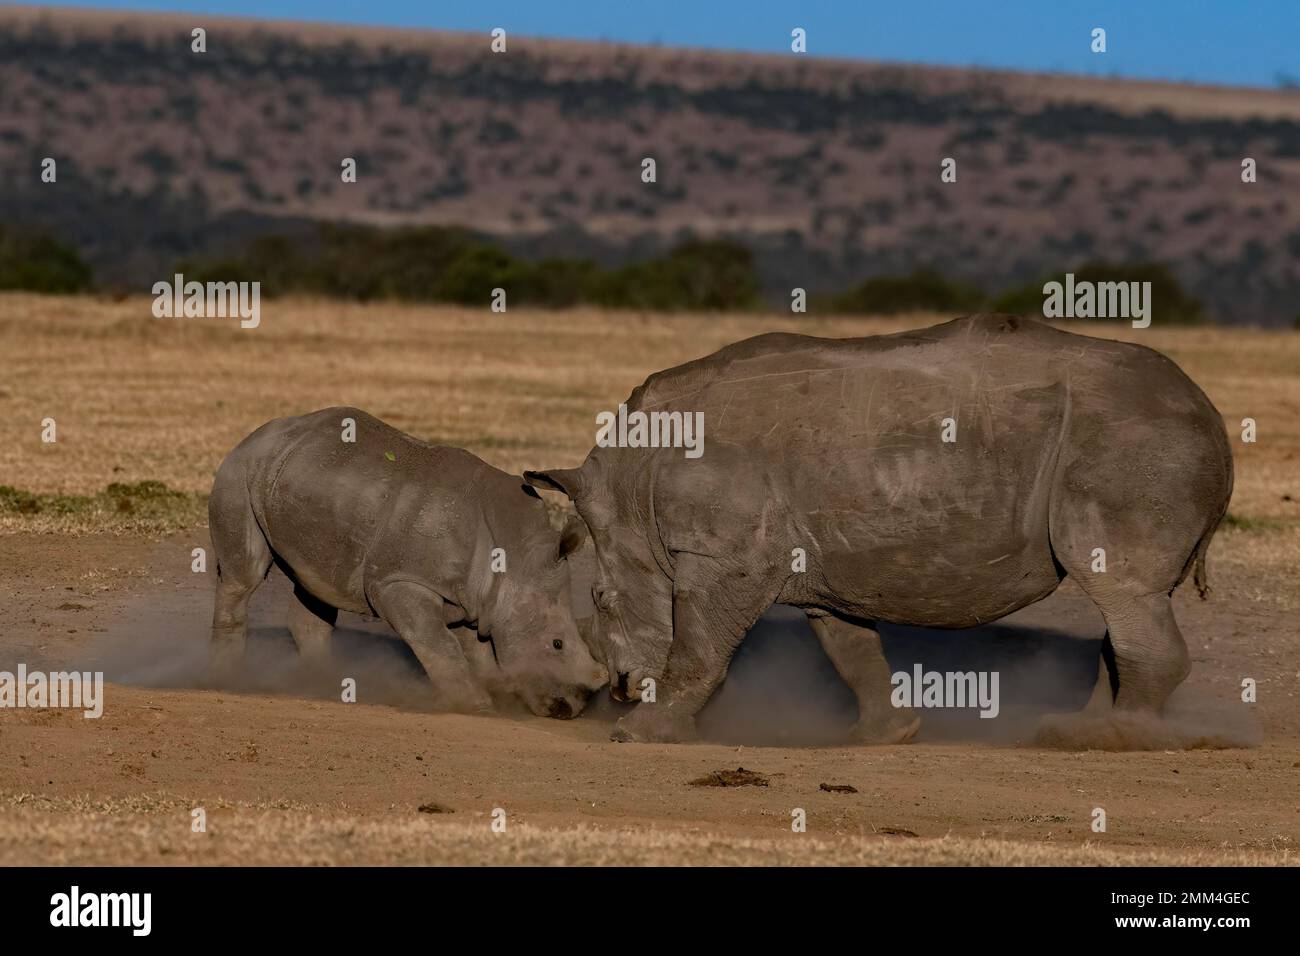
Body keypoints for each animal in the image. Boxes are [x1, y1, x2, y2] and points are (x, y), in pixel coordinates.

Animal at [209, 407, 607, 718]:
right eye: (557, 644)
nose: (570, 710)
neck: (517, 558)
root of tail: (257, 433)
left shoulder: (476, 599)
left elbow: (474, 647)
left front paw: (496, 692)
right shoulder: (398, 581)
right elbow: (438, 642)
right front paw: (477, 706)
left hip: (303, 482)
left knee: (316, 584)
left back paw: (323, 680)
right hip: (239, 471)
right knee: (243, 578)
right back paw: (230, 678)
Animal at [526, 315, 1234, 743]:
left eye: (600, 599)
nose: (620, 691)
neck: (633, 481)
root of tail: (1215, 419)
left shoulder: (723, 556)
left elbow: (698, 647)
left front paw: (638, 736)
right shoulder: (817, 561)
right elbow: (851, 648)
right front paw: (879, 738)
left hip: (1131, 442)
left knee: (1119, 584)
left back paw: (1110, 739)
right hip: (1146, 440)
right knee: (1131, 600)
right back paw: (1081, 730)